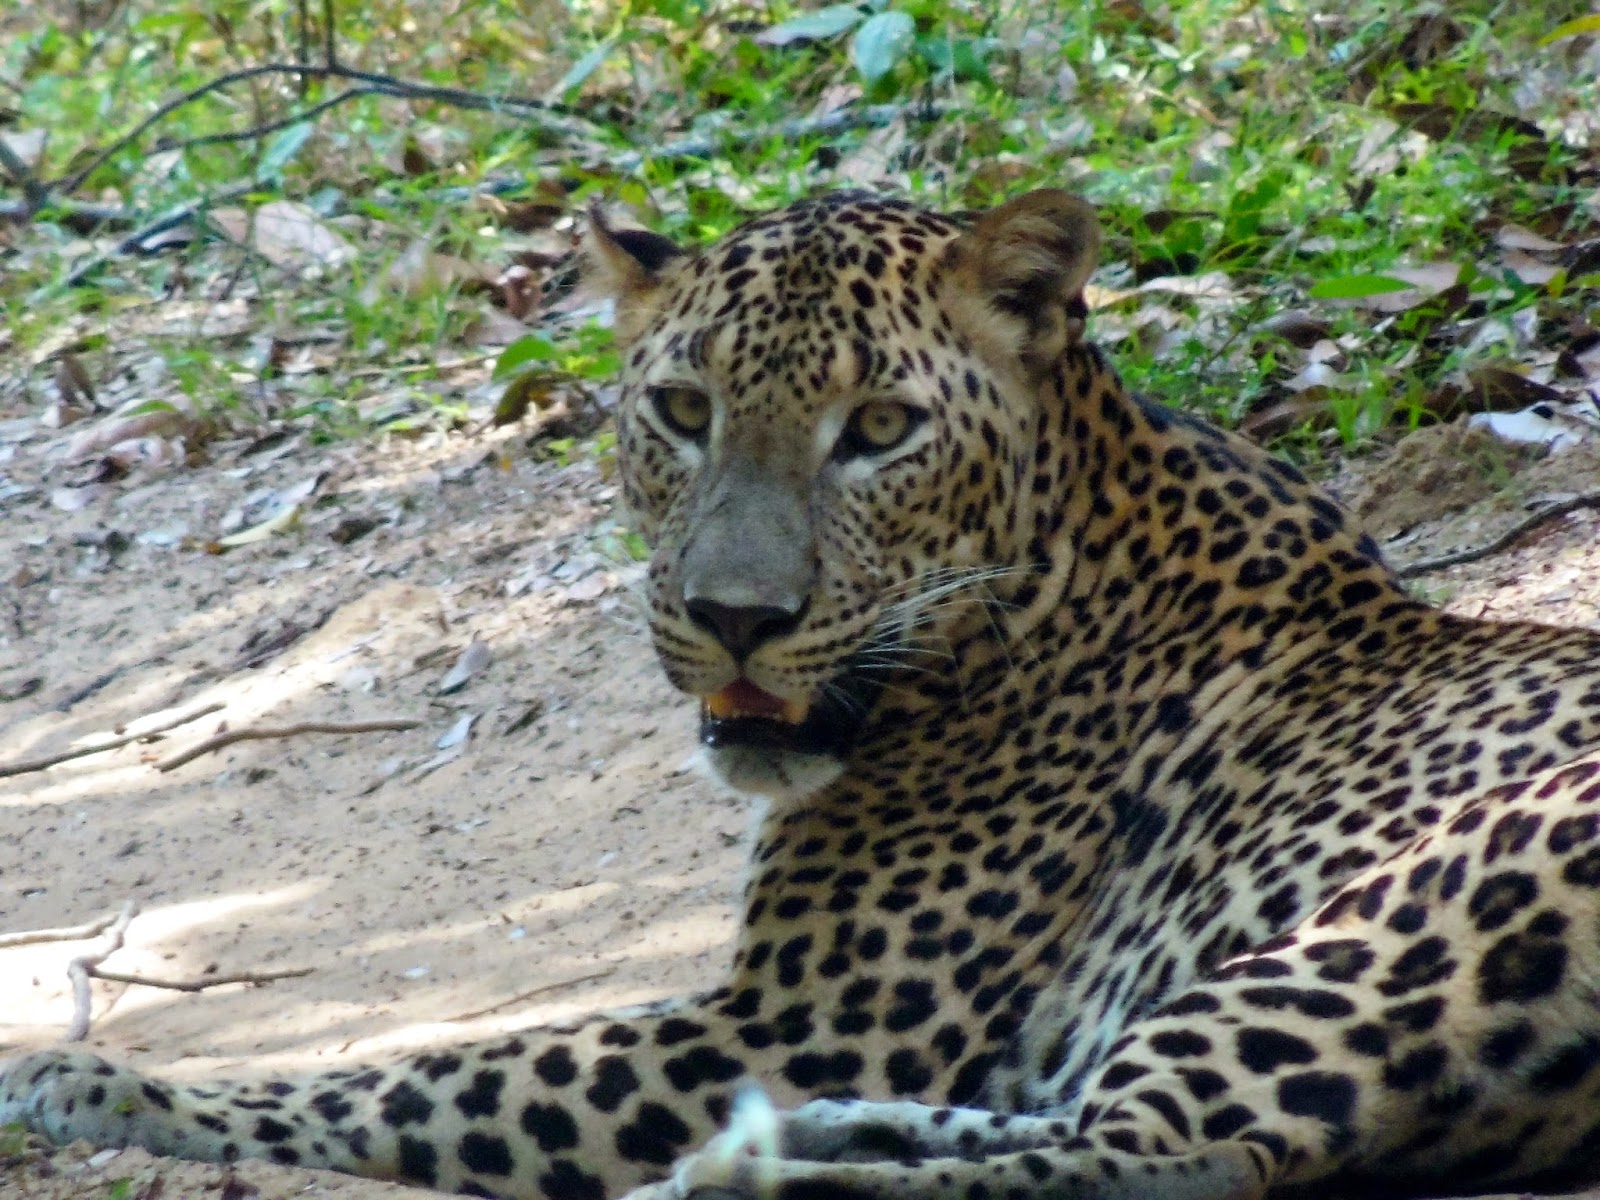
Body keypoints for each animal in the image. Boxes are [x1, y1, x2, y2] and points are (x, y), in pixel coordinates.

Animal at [7, 187, 1600, 1200]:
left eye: (880, 428)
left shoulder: (786, 1017)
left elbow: (426, 1077)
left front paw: (104, 1088)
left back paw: (763, 1182)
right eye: (682, 409)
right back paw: (807, 1146)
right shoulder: (785, 1030)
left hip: (1412, 910)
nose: (735, 620)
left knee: (1171, 1162)